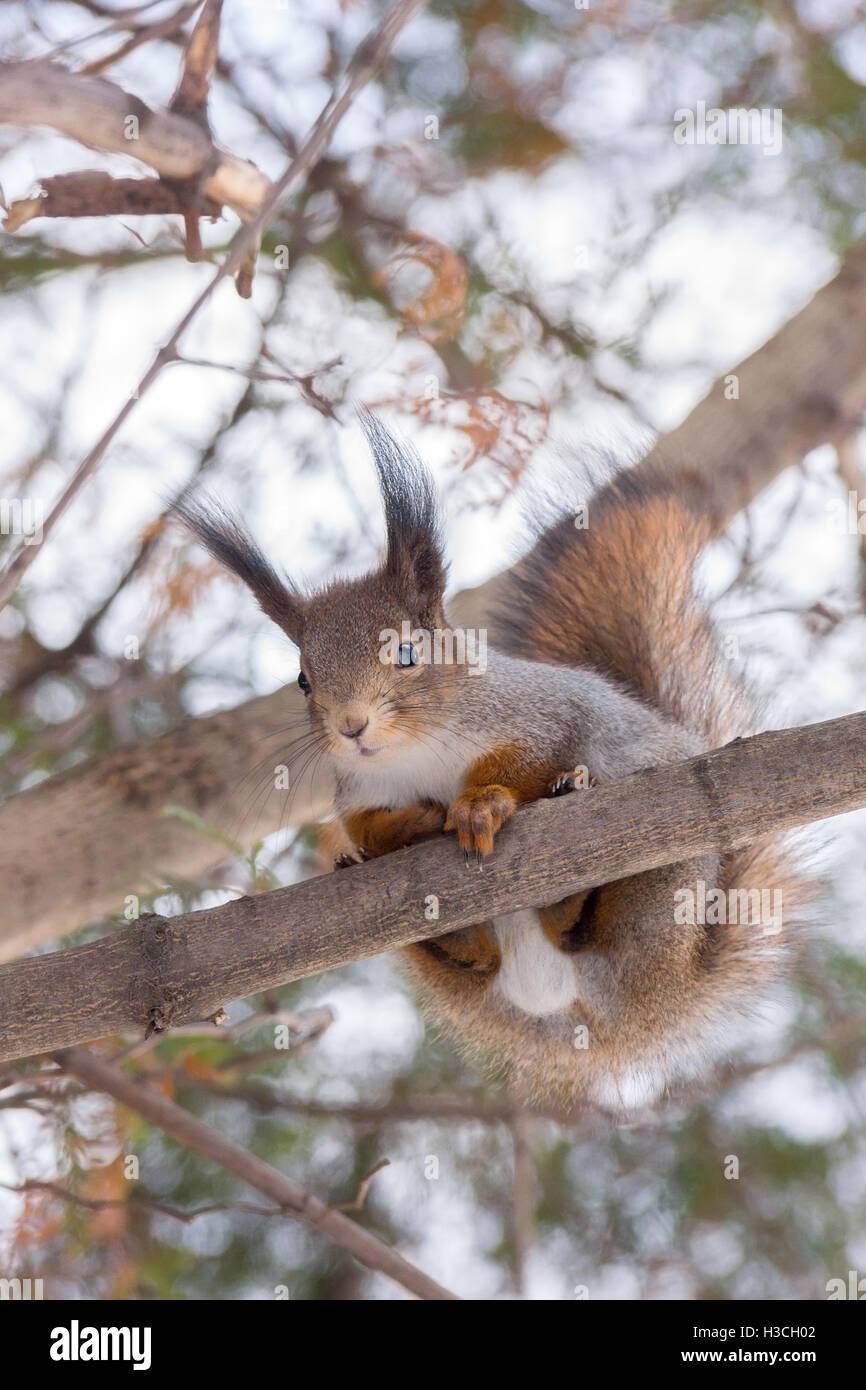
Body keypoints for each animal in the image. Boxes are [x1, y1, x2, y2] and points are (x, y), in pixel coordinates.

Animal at [177, 411, 802, 1111]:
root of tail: (622, 1013)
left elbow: (529, 756)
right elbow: (365, 822)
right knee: (477, 961)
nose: (351, 727)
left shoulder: (543, 711)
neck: (413, 753)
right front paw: (406, 827)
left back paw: (569, 875)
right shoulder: (357, 789)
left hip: (667, 883)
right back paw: (440, 927)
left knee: (594, 928)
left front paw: (479, 804)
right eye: (304, 680)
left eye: (406, 653)